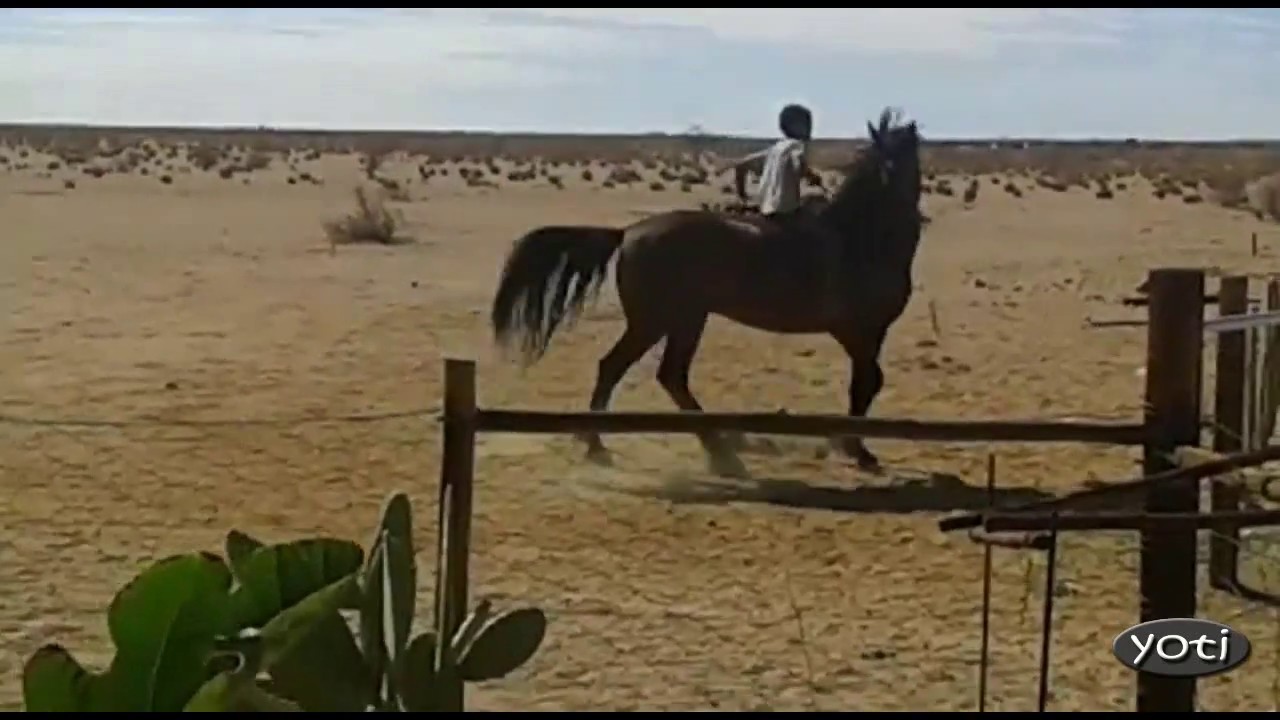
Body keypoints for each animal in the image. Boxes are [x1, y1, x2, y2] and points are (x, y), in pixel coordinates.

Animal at [489, 107, 924, 476]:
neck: (862, 238)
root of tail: (628, 233)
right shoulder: (860, 331)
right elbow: (868, 383)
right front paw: (857, 449)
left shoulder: (863, 334)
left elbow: (865, 384)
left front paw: (848, 445)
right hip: (661, 320)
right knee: (628, 369)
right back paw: (623, 444)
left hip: (682, 319)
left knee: (662, 375)